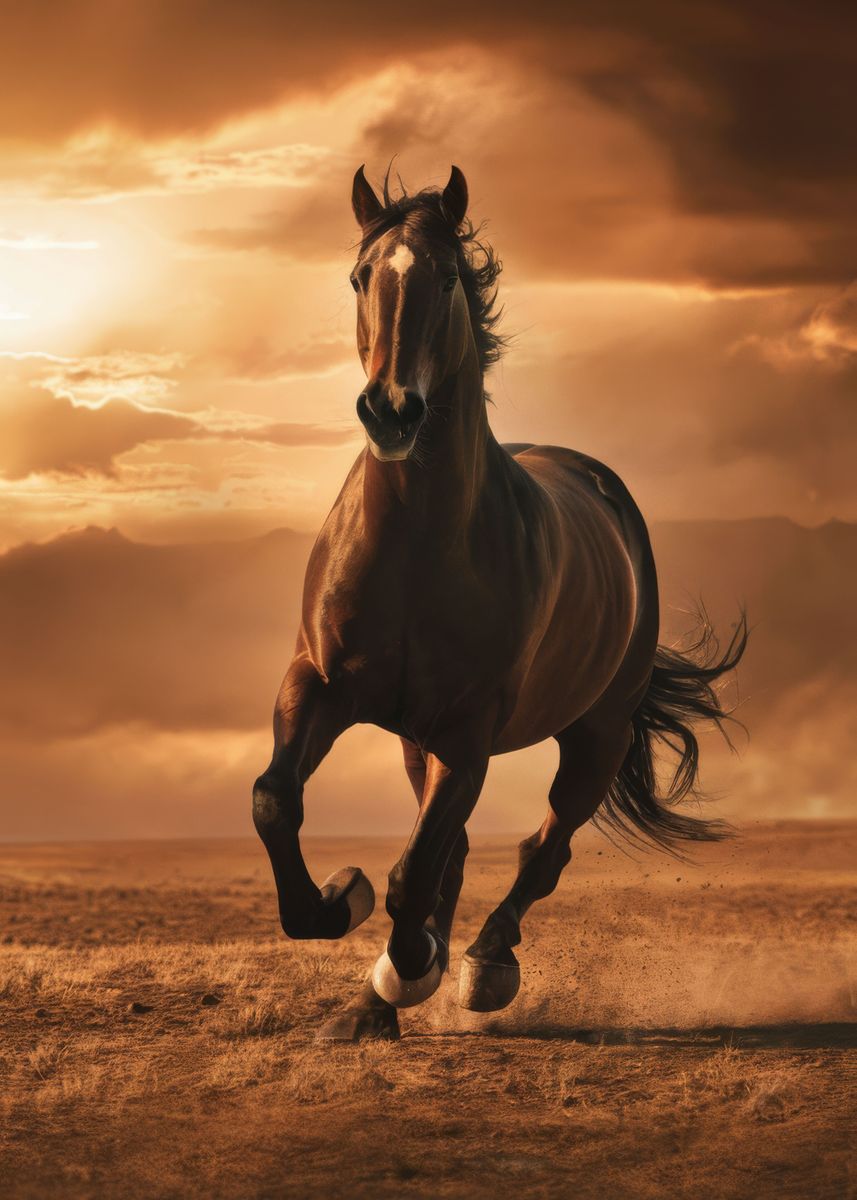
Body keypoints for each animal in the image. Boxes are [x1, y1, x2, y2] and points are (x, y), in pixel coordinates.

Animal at [252, 165, 746, 1041]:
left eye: (447, 277)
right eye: (360, 277)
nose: (390, 411)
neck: (414, 547)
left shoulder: (467, 731)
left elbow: (416, 870)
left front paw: (409, 968)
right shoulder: (321, 685)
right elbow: (278, 802)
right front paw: (341, 904)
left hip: (595, 733)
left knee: (541, 851)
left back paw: (482, 966)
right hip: (419, 744)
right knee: (457, 850)